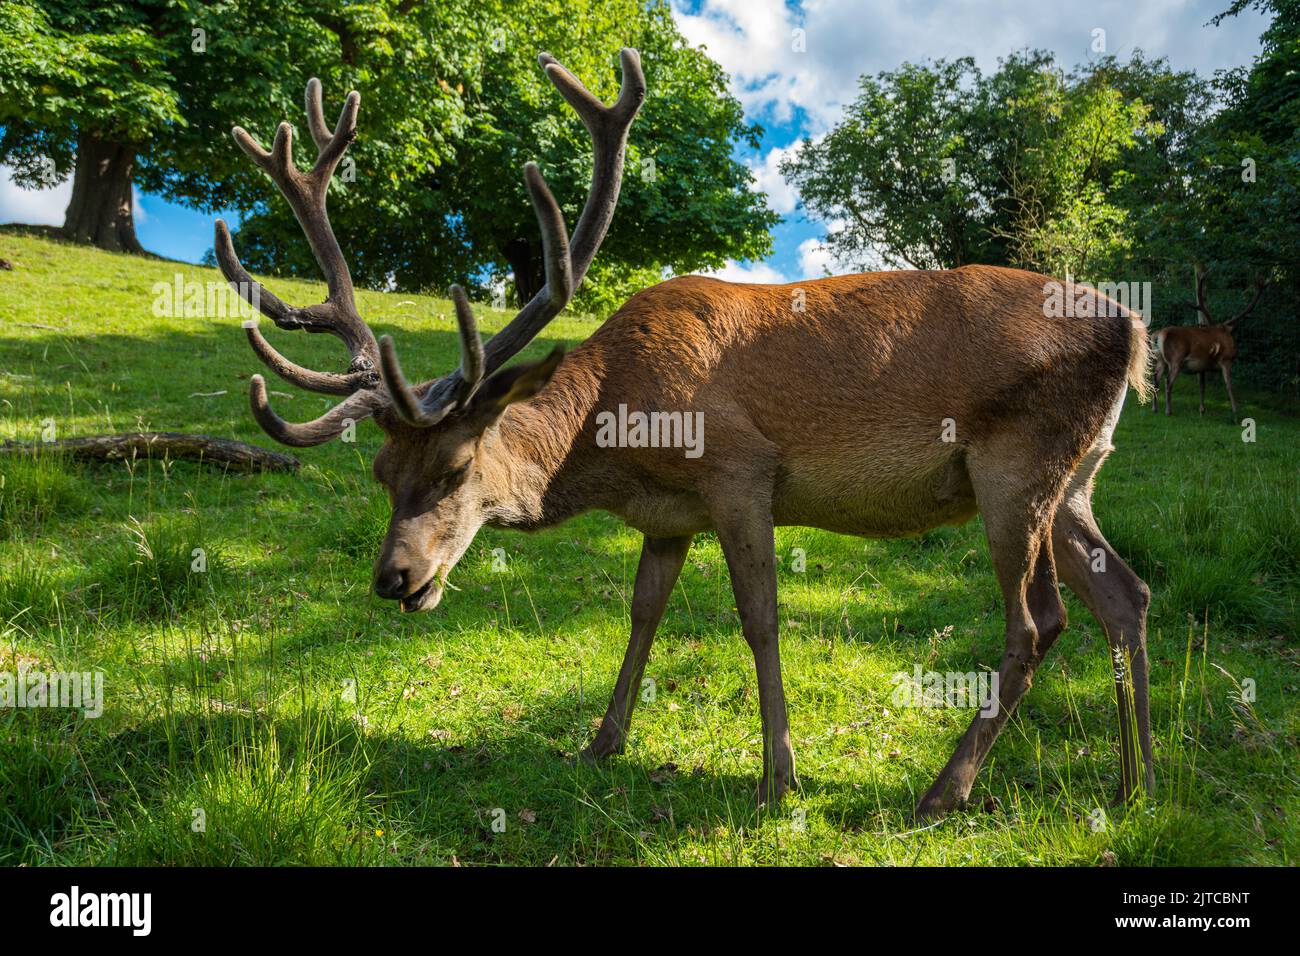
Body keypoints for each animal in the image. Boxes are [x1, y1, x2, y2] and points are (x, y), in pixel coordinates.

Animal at [212, 48, 1155, 818]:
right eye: (379, 470)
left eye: (454, 465)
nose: (395, 579)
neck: (617, 444)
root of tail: (1135, 329)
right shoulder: (669, 518)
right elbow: (643, 612)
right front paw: (600, 742)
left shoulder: (739, 472)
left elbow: (760, 618)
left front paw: (780, 778)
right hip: (1076, 476)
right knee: (1126, 593)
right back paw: (1136, 782)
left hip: (1015, 463)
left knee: (1038, 622)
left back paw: (943, 790)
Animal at [1151, 264, 1265, 417]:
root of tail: (1159, 335)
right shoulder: (1226, 359)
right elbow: (1229, 385)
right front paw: (1235, 410)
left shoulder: (1202, 366)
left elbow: (1202, 385)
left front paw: (1202, 409)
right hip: (1176, 358)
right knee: (1167, 381)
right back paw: (1168, 411)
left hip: (1160, 359)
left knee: (1155, 378)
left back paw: (1155, 408)